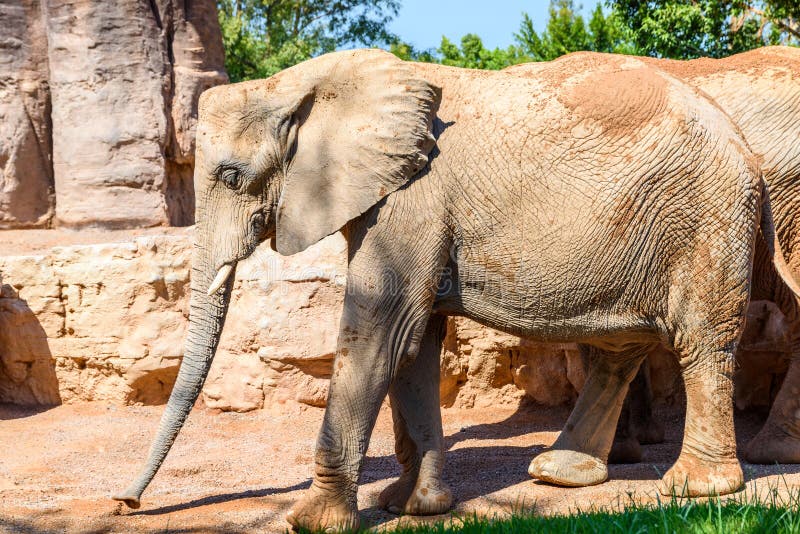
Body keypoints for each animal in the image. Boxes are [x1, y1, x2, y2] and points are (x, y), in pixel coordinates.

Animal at [114, 49, 797, 532]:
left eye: (232, 176)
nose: (126, 503)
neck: (309, 84)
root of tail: (743, 147)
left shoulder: (411, 201)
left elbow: (381, 330)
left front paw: (314, 523)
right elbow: (414, 343)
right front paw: (412, 506)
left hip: (703, 217)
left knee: (700, 341)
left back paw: (695, 489)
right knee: (619, 349)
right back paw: (560, 474)